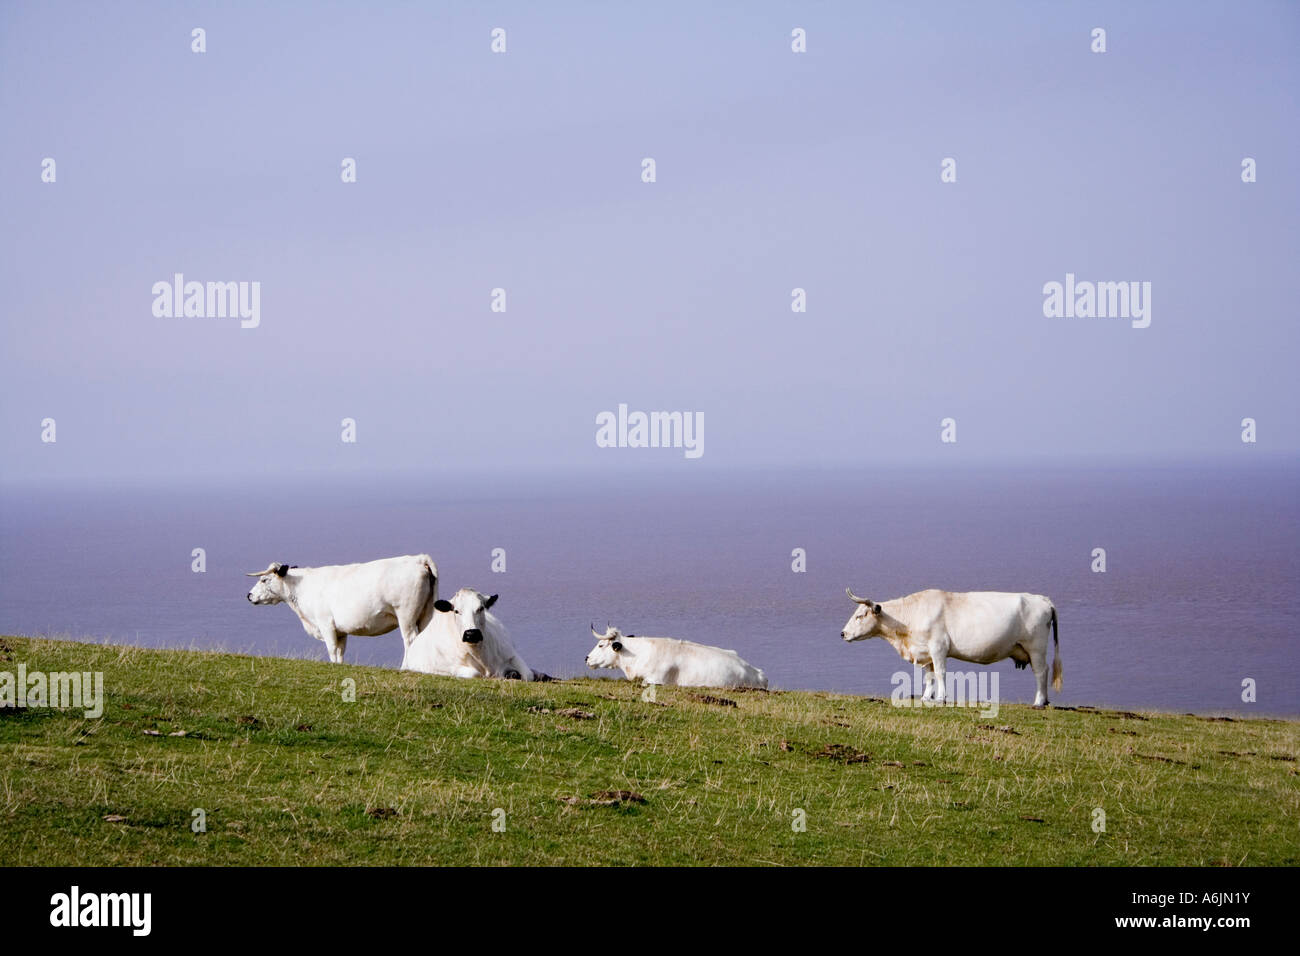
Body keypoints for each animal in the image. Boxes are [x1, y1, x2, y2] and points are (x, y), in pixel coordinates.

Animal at [245, 554, 438, 665]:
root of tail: (418, 558)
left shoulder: (325, 624)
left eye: (264, 580)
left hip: (406, 615)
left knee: (410, 640)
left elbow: (331, 649)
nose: (249, 595)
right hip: (425, 614)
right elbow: (340, 651)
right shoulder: (341, 630)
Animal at [401, 588, 540, 680]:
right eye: (456, 611)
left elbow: (528, 675)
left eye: (481, 608)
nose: (471, 633)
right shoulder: (449, 667)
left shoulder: (511, 654)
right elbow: (474, 674)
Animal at [841, 587, 1062, 707]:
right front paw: (926, 697)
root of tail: (1042, 599)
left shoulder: (938, 647)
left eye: (860, 615)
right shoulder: (925, 652)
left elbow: (940, 673)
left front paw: (940, 698)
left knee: (1041, 672)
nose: (842, 633)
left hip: (1036, 648)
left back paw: (1039, 702)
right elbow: (929, 676)